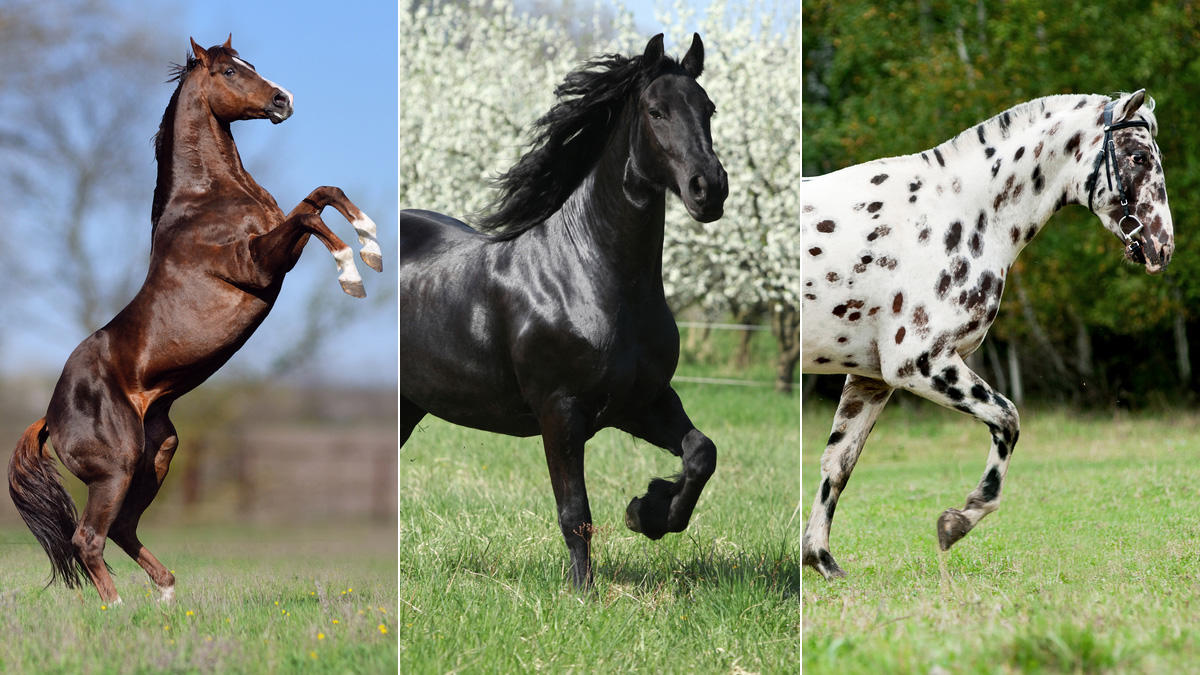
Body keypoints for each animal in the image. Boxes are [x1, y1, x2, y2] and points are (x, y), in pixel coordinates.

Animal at [7, 37, 382, 603]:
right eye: (230, 71)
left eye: (250, 64)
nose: (283, 100)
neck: (206, 201)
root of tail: (50, 417)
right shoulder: (259, 263)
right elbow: (308, 214)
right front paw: (352, 274)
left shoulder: (277, 253)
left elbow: (322, 194)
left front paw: (372, 241)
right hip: (116, 467)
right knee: (88, 537)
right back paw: (117, 609)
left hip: (158, 453)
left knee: (122, 529)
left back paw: (166, 597)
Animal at [400, 34, 727, 589]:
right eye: (656, 111)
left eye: (708, 109)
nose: (710, 189)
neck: (590, 274)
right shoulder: (560, 411)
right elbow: (575, 513)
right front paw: (582, 592)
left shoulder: (642, 401)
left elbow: (701, 453)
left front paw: (648, 511)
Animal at [800, 90, 1173, 579]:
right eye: (1138, 156)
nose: (1163, 247)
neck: (955, 213)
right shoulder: (920, 364)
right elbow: (1007, 418)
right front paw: (958, 521)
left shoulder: (872, 378)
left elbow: (839, 463)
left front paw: (821, 559)